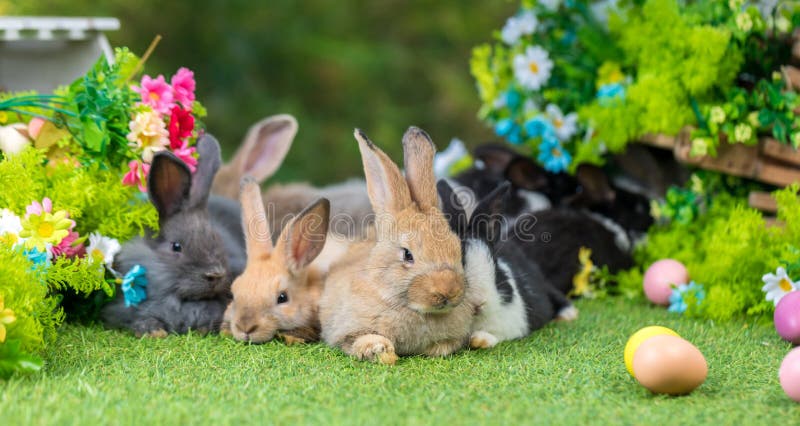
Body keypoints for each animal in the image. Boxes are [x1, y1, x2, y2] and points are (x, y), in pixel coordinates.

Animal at [319, 127, 482, 365]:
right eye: (407, 254)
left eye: (458, 251)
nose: (447, 291)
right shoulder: (345, 329)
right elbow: (361, 340)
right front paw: (381, 351)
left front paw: (435, 349)